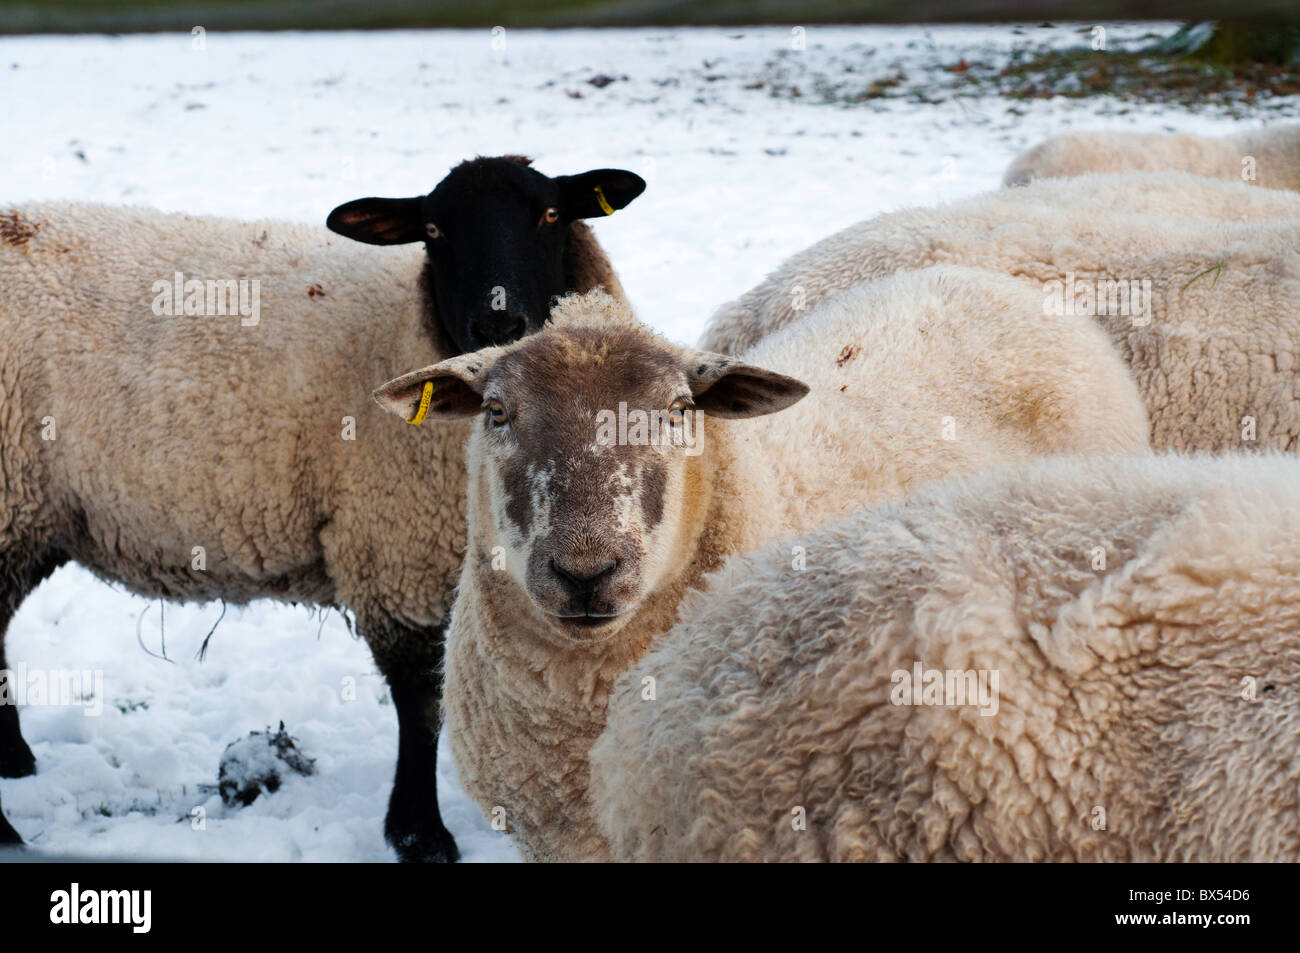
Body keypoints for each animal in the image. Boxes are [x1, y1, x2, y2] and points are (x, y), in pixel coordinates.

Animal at [0, 154, 644, 862]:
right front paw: (418, 831)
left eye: (551, 214)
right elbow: (420, 704)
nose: (498, 327)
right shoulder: (396, 551)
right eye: (435, 230)